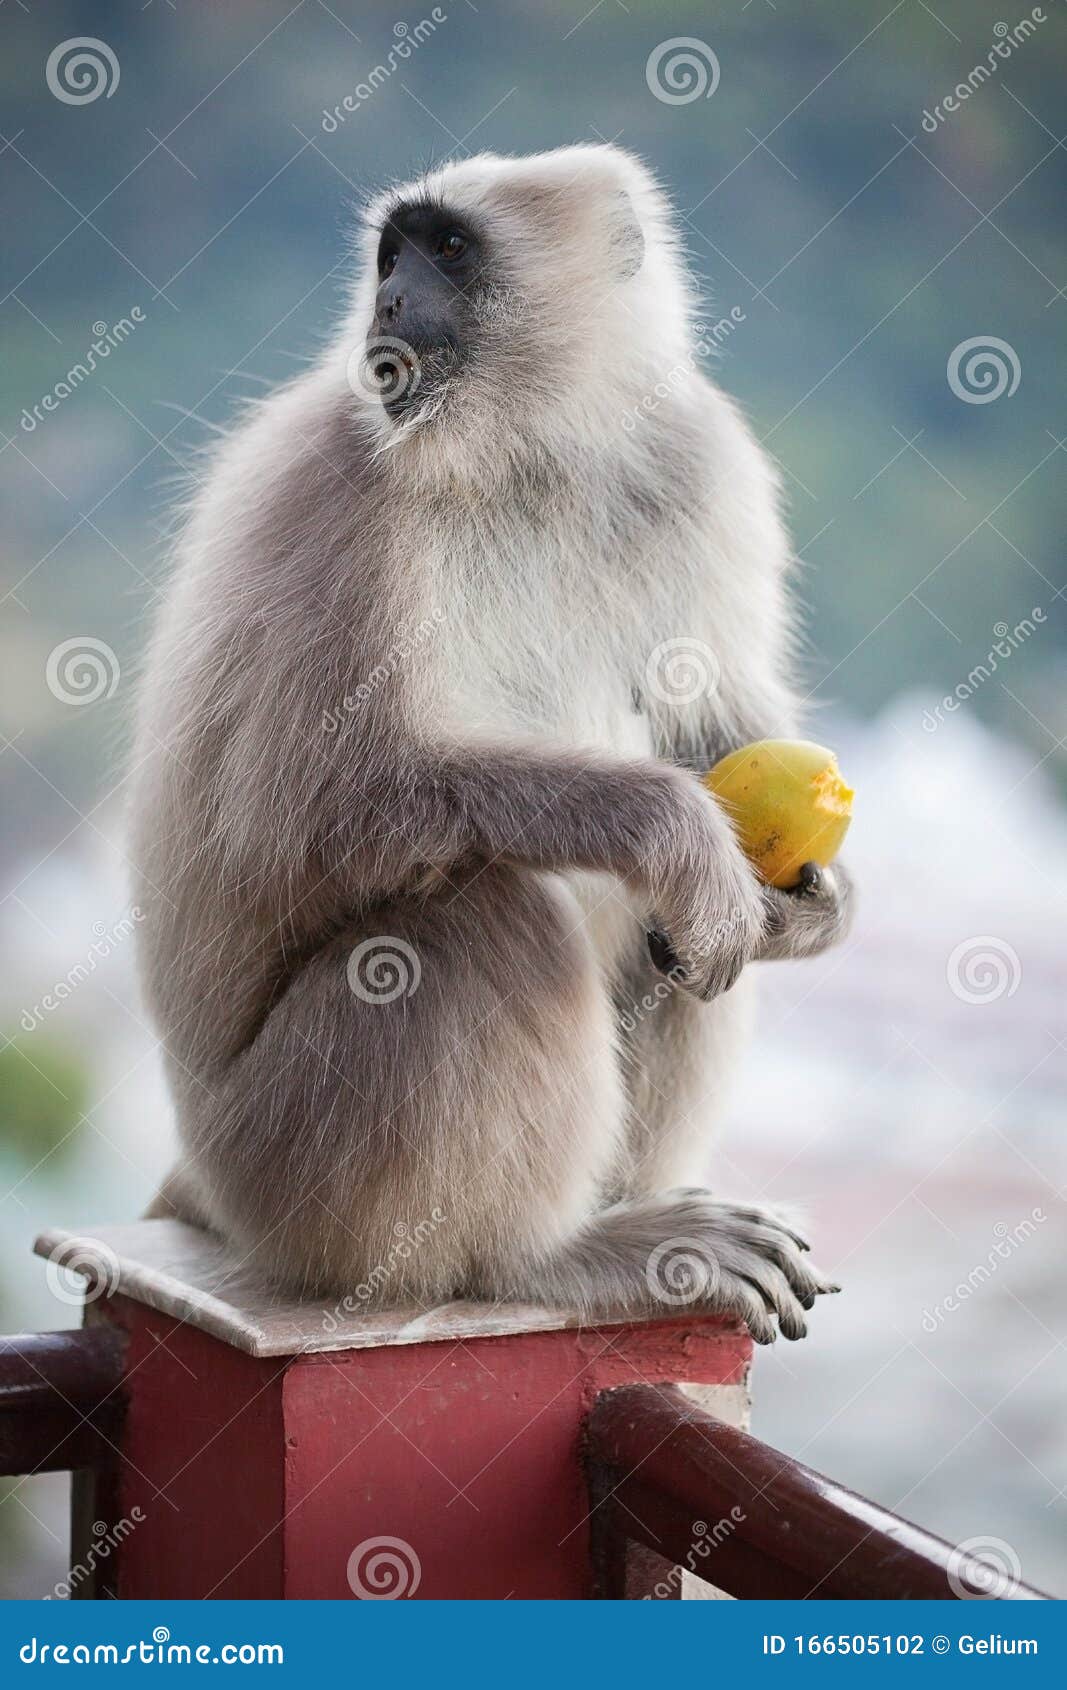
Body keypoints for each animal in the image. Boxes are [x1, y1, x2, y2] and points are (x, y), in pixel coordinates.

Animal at [130, 144, 853, 1343]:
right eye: (393, 255)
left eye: (450, 251)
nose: (388, 302)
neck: (529, 452)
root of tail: (208, 1181)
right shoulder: (340, 487)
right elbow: (306, 806)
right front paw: (676, 828)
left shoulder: (691, 454)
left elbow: (713, 719)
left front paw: (819, 901)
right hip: (288, 1173)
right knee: (476, 919)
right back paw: (547, 1255)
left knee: (666, 943)